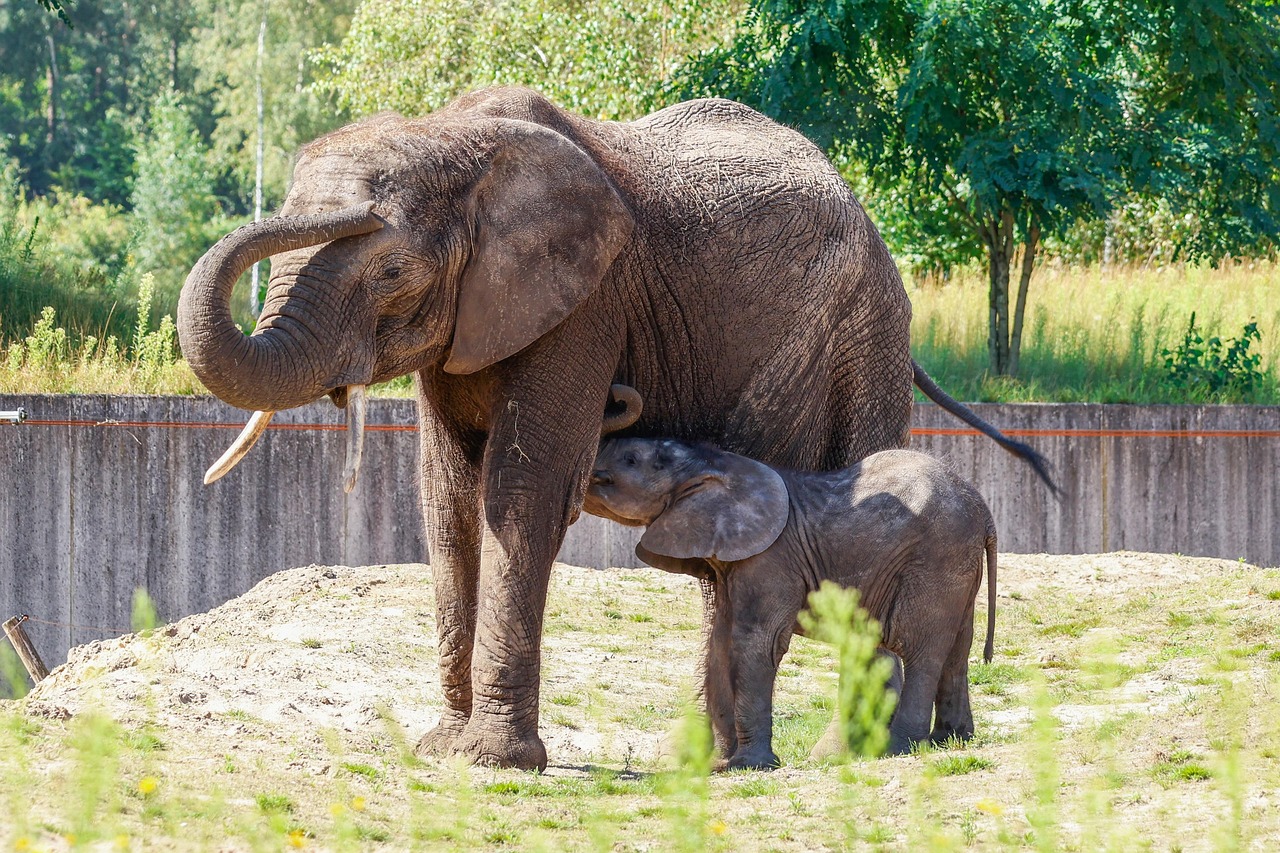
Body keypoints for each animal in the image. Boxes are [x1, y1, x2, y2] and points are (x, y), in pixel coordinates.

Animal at [585, 437, 997, 769]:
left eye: (630, 459)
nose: (592, 476)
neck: (710, 462)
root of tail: (983, 508)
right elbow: (720, 642)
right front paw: (720, 763)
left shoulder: (771, 558)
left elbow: (754, 642)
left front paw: (749, 766)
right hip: (959, 565)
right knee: (957, 650)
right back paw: (950, 740)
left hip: (935, 558)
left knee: (919, 649)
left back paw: (898, 749)